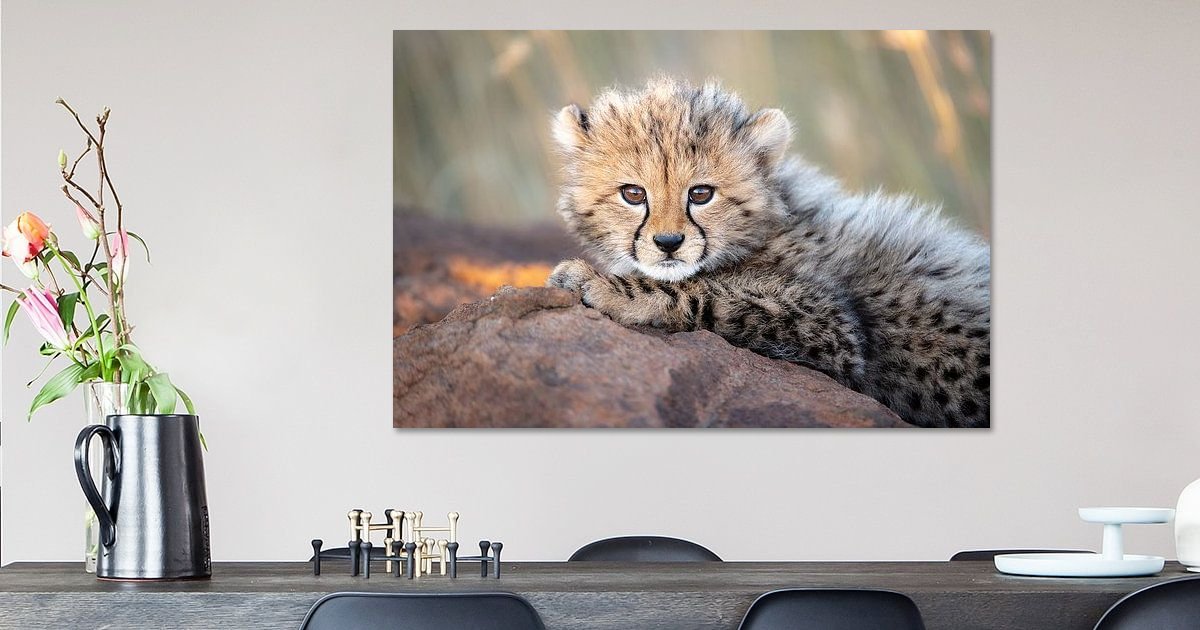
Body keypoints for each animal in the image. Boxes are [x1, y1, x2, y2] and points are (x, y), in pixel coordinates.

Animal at [546, 78, 990, 428]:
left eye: (701, 194)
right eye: (633, 194)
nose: (668, 243)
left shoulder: (832, 327)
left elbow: (702, 291)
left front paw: (605, 286)